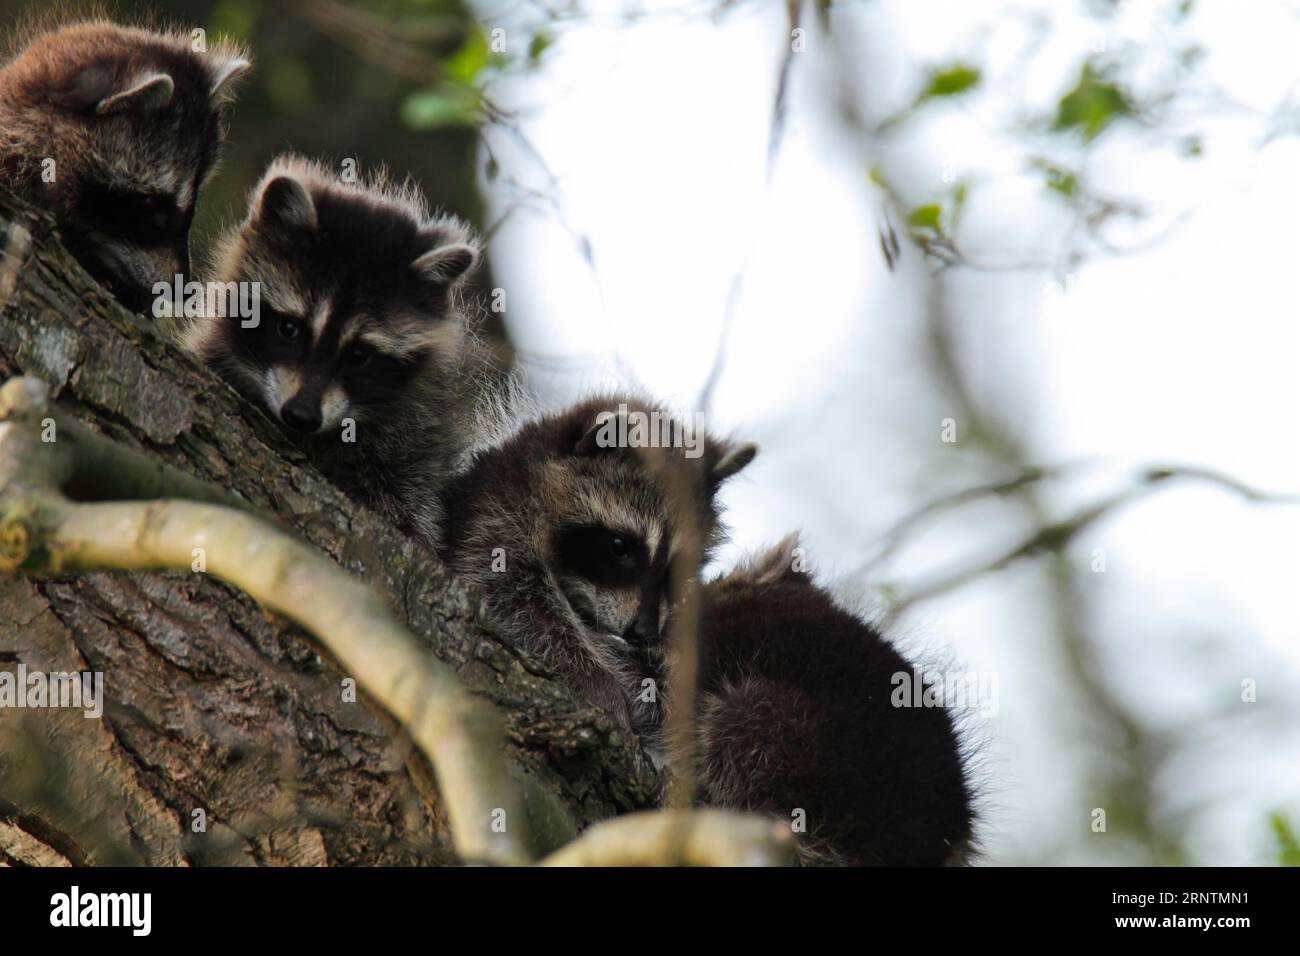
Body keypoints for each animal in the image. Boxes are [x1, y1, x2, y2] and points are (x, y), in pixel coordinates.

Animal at [437, 395, 757, 743]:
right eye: (619, 546)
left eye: (676, 571)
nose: (643, 633)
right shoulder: (494, 517)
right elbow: (516, 600)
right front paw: (598, 680)